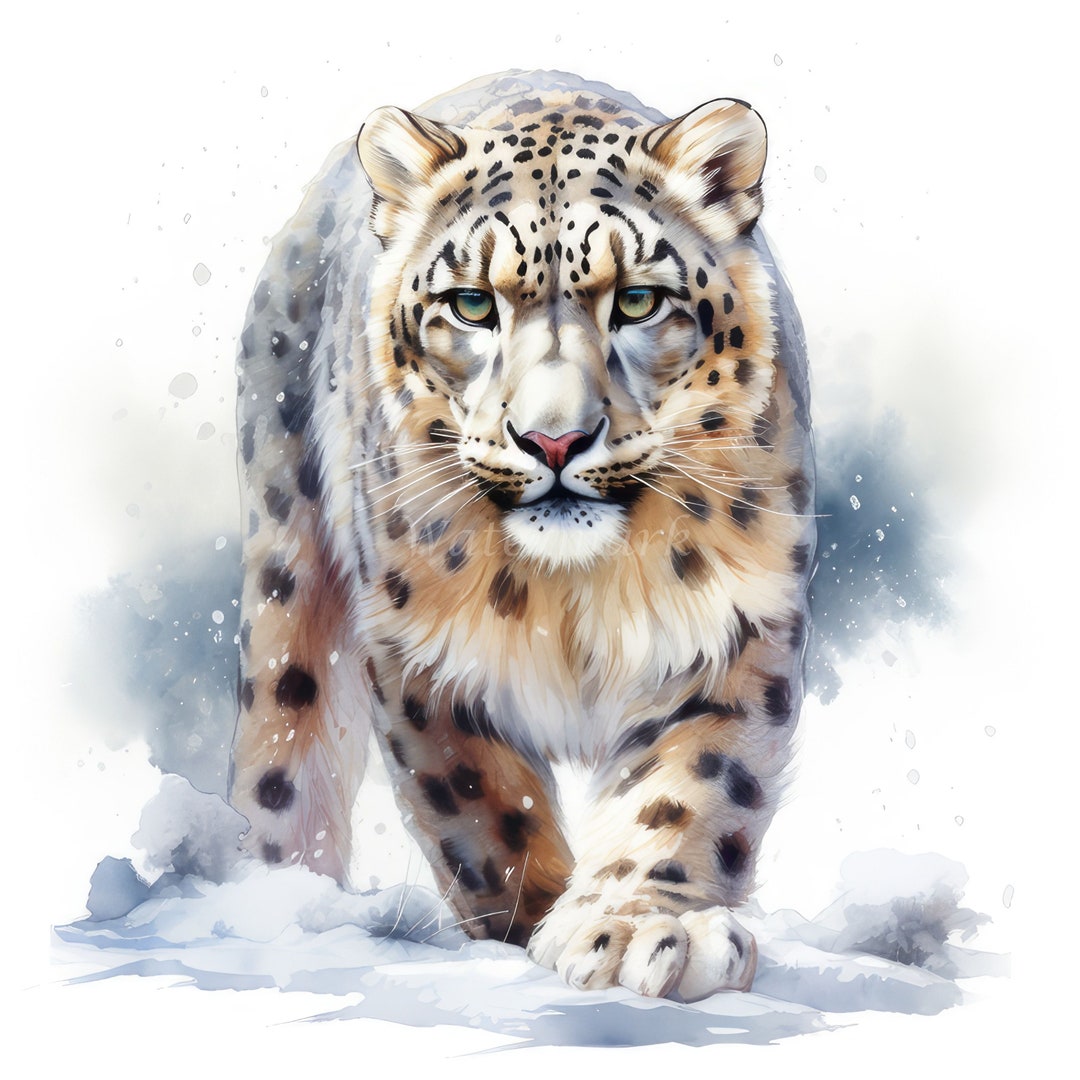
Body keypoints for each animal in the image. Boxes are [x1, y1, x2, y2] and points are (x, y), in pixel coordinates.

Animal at [230, 69, 814, 1001]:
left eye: (638, 299)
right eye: (472, 304)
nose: (554, 439)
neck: (572, 596)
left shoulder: (736, 623)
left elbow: (691, 785)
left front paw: (635, 927)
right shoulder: (421, 653)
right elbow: (484, 811)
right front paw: (542, 918)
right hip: (288, 566)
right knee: (285, 740)